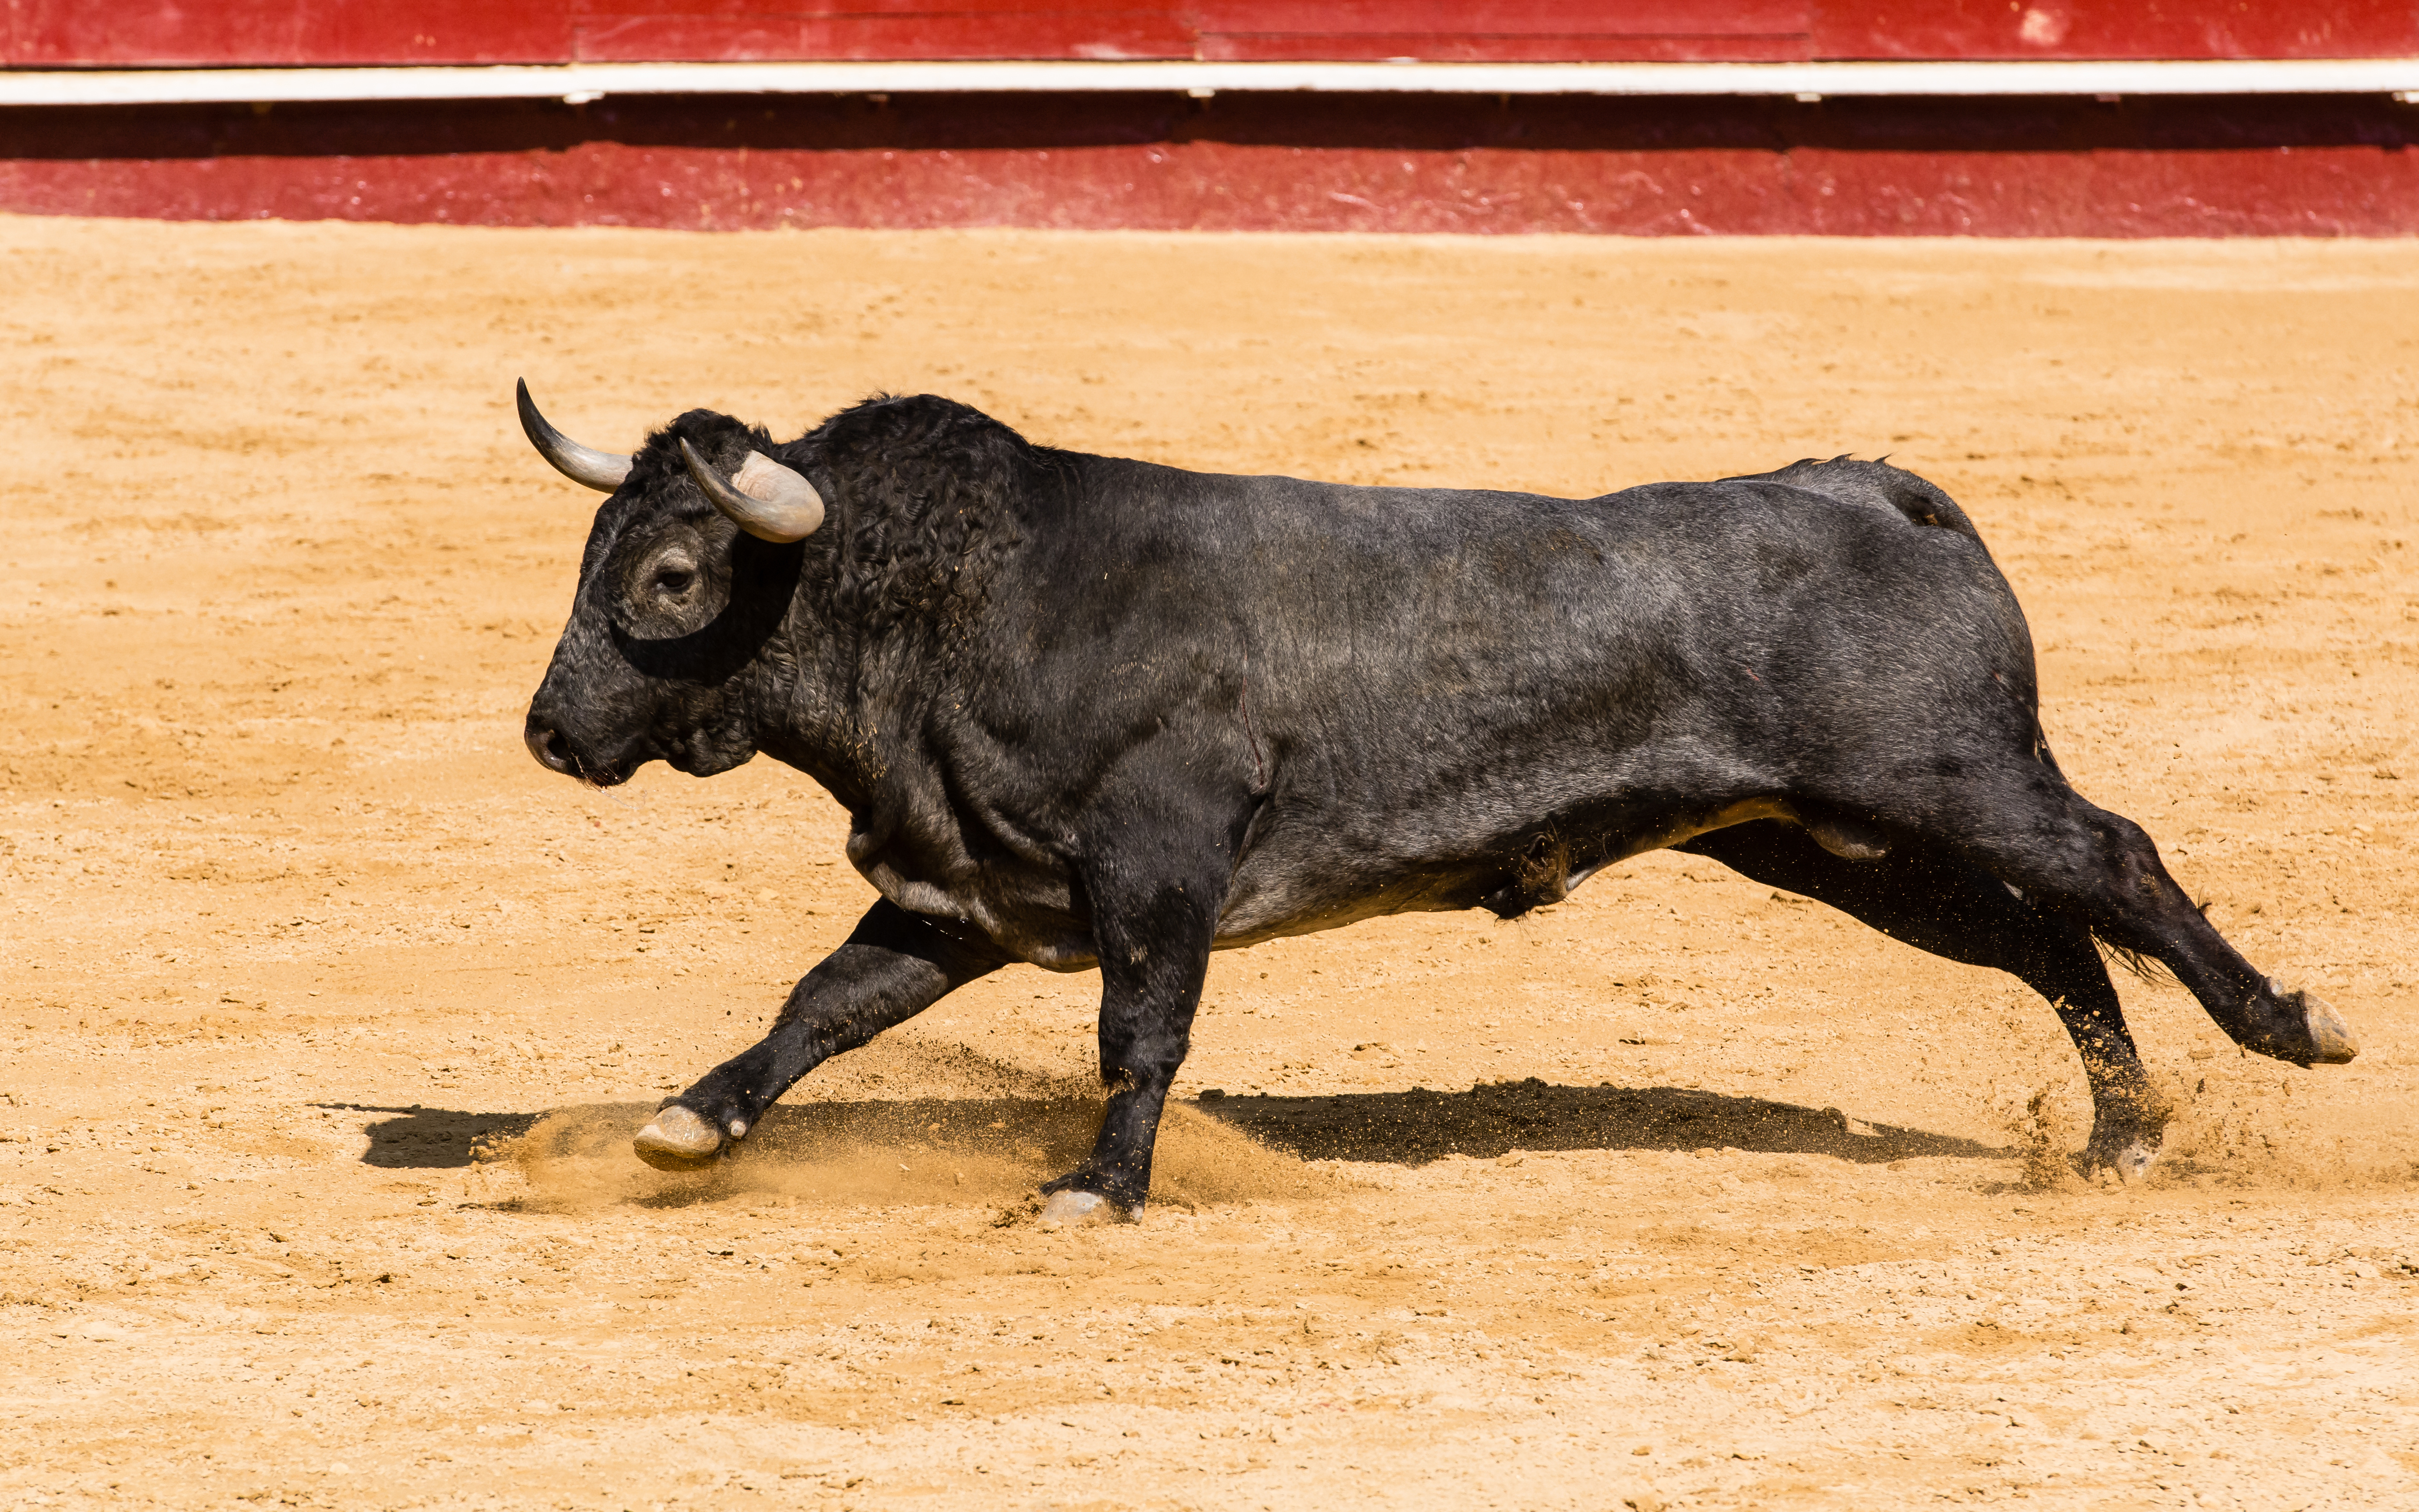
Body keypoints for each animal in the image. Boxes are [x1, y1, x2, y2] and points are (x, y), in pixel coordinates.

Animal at [513, 380, 2357, 1226]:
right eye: (593, 550)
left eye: (671, 575)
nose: (544, 733)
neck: (980, 600)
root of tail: (1866, 487)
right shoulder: (959, 891)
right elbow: (823, 1003)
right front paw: (686, 1125)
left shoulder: (1157, 869)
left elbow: (1140, 1033)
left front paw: (1098, 1189)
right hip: (1843, 845)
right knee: (2046, 944)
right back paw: (2119, 1139)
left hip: (1944, 781)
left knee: (2112, 862)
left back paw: (2289, 1028)